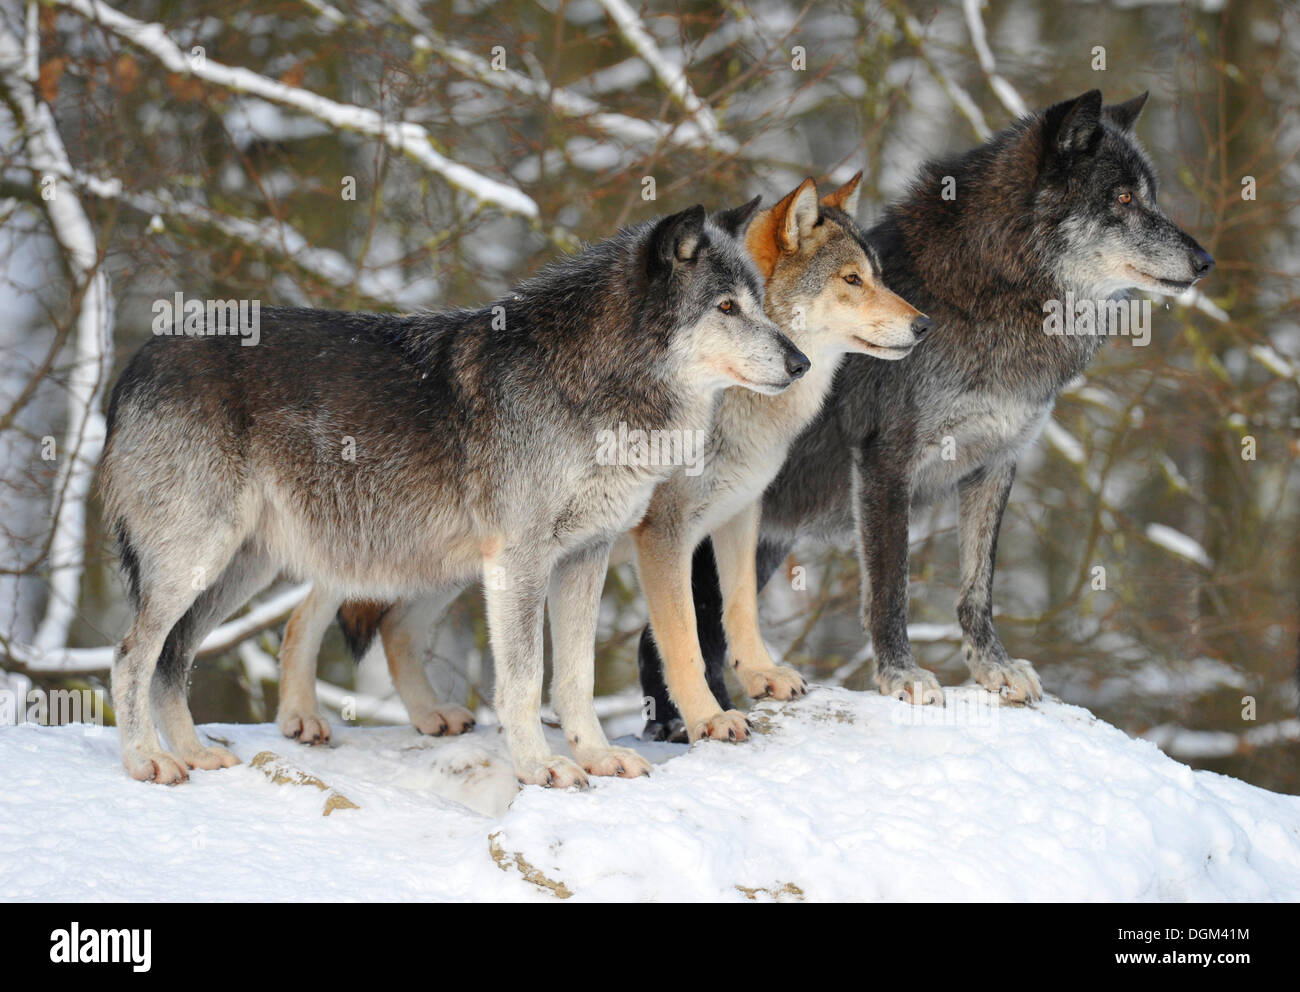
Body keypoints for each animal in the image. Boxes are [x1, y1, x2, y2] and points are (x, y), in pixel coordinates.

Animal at [100, 202, 809, 787]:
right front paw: (541, 768)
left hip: (247, 568)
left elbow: (574, 679)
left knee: (174, 657)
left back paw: (194, 753)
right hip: (202, 562)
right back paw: (147, 761)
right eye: (726, 308)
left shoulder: (587, 555)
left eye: (759, 302)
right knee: (133, 653)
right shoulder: (521, 560)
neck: (590, 386)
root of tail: (136, 363)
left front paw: (598, 757)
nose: (801, 362)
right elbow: (524, 678)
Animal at [274, 175, 927, 748]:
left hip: (455, 564)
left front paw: (762, 676)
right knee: (304, 618)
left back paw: (431, 716)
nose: (923, 324)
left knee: (392, 627)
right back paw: (302, 716)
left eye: (878, 277)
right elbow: (684, 639)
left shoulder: (742, 511)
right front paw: (707, 718)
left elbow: (739, 607)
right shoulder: (662, 533)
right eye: (852, 279)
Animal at [638, 90, 1217, 740]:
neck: (994, 288)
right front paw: (902, 676)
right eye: (1122, 199)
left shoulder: (997, 463)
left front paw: (993, 668)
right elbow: (891, 586)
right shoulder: (887, 462)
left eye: (1151, 195)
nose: (1205, 260)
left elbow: (977, 588)